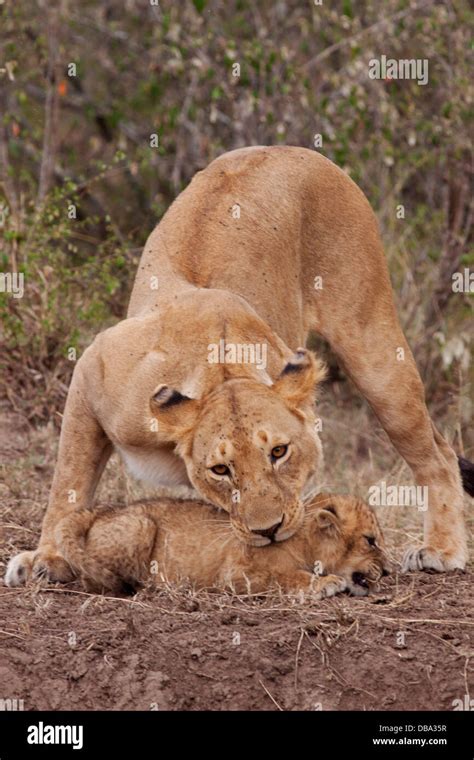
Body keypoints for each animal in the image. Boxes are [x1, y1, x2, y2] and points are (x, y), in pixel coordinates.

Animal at [54, 493, 391, 597]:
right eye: (370, 540)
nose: (388, 571)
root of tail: (98, 510)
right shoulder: (234, 573)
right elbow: (283, 576)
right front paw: (324, 583)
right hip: (141, 525)